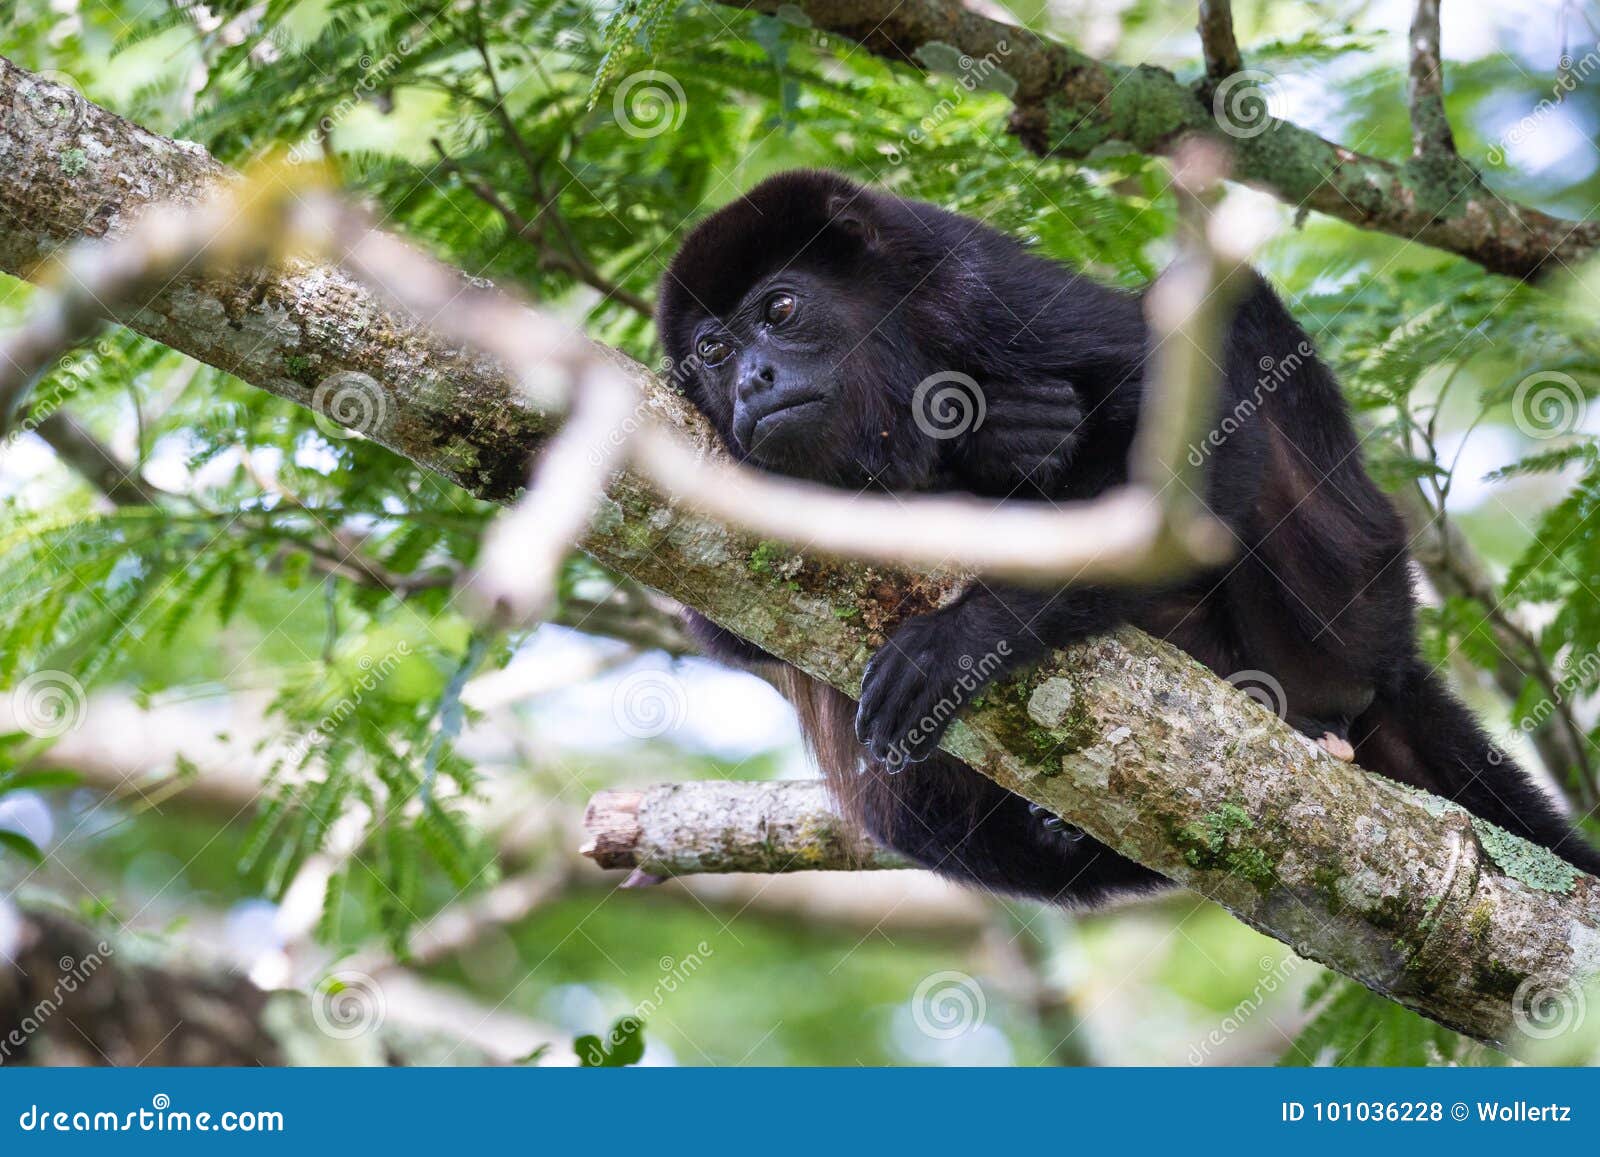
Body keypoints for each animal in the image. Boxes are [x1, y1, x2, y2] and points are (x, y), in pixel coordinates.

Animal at [655, 169, 1600, 905]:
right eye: (711, 350)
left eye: (780, 307)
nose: (751, 378)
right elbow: (727, 628)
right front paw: (1000, 442)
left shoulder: (969, 282)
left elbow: (1214, 448)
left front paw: (965, 637)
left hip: (1354, 597)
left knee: (1226, 304)